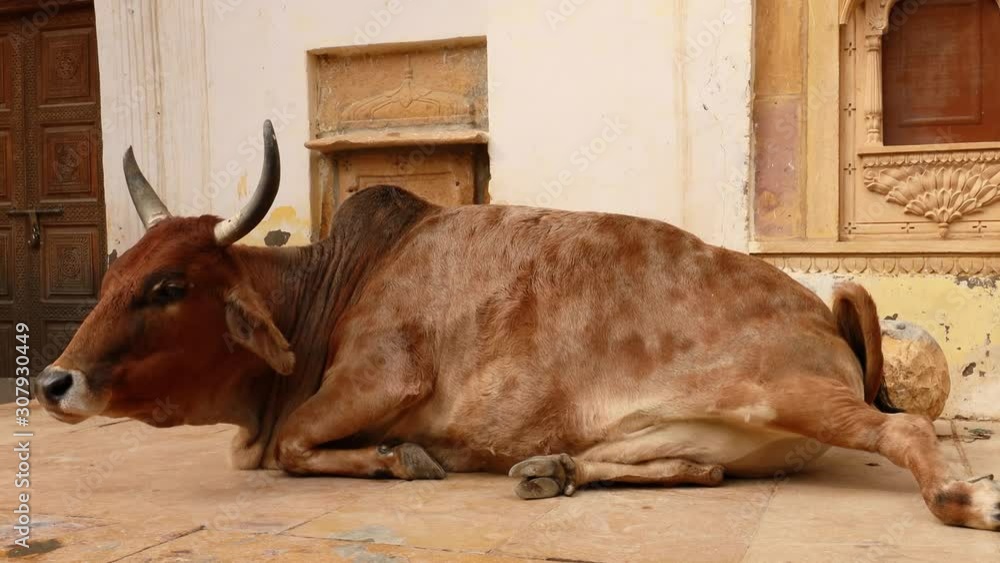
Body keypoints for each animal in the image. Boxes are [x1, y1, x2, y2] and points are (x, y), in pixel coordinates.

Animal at [36, 121, 999, 531]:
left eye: (167, 285)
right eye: (114, 274)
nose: (52, 381)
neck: (331, 287)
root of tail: (818, 305)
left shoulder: (379, 378)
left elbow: (290, 447)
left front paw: (403, 458)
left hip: (786, 394)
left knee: (906, 428)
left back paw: (964, 497)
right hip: (688, 428)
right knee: (696, 467)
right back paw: (550, 469)